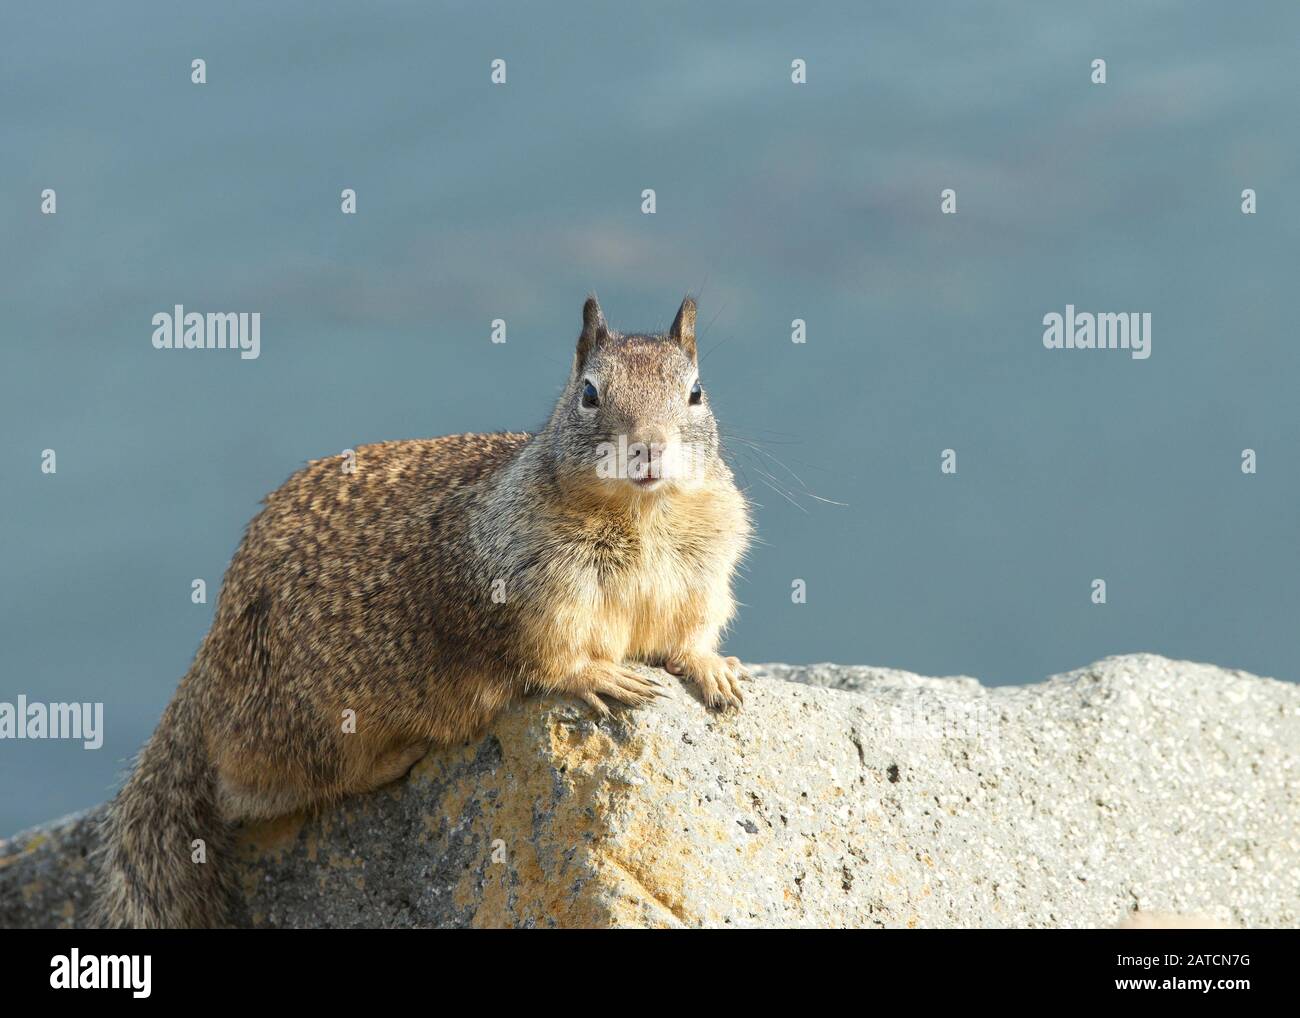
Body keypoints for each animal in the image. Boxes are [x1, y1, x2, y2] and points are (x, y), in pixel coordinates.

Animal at [94, 295, 752, 928]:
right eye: (589, 393)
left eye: (695, 392)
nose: (648, 449)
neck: (642, 518)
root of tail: (207, 663)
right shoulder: (533, 595)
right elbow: (550, 655)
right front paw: (600, 675)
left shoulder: (704, 578)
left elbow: (691, 634)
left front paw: (714, 669)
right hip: (307, 728)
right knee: (252, 793)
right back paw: (393, 759)